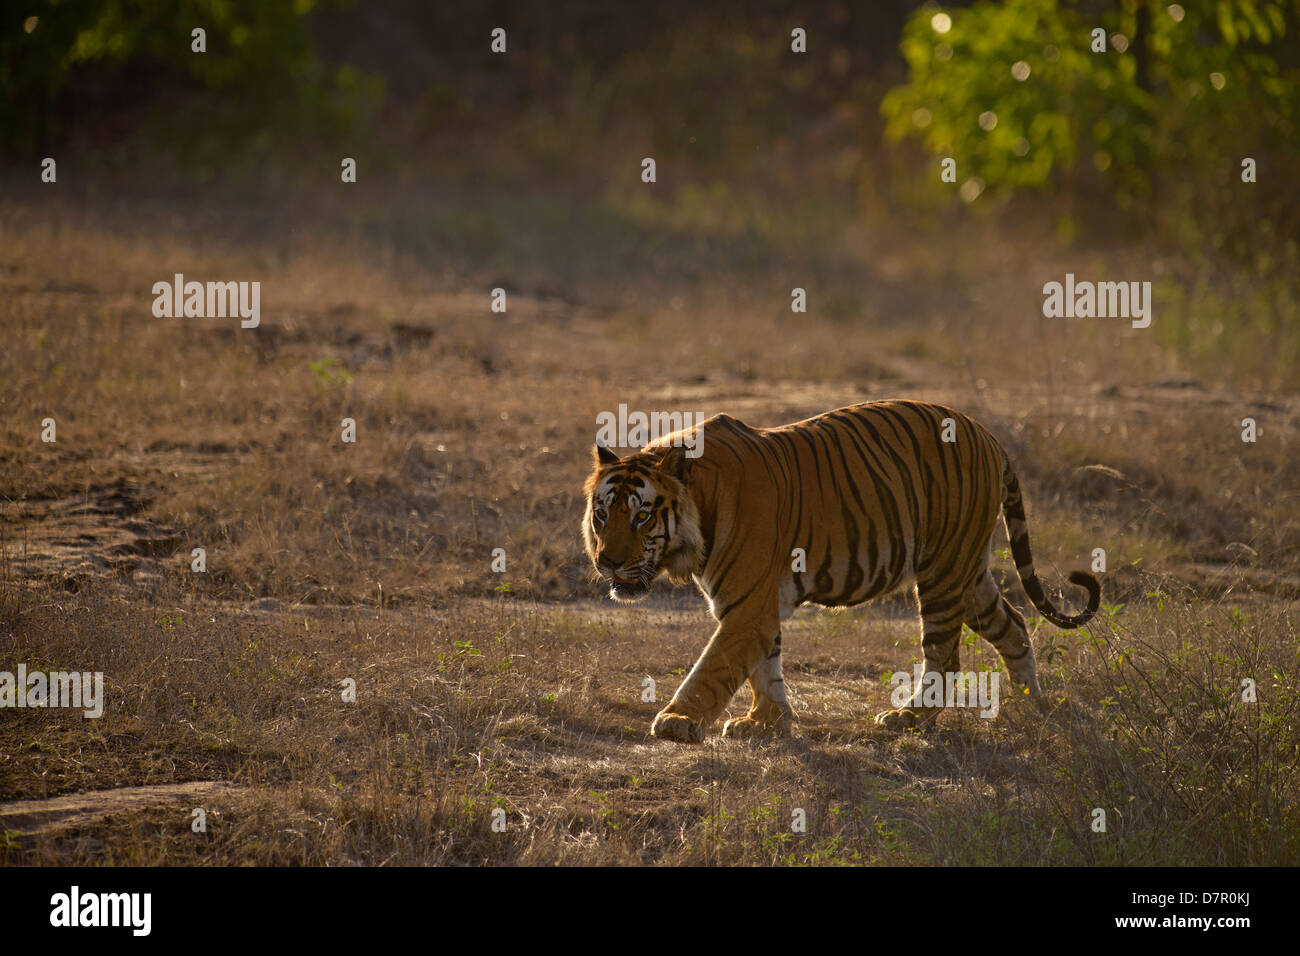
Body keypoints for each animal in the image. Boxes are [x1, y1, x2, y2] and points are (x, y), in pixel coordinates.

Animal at [582, 399, 1100, 742]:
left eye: (641, 516)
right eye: (602, 514)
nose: (608, 561)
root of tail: (991, 437)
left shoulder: (747, 605)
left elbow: (714, 665)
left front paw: (678, 720)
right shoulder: (757, 603)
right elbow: (765, 666)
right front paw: (765, 722)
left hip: (943, 573)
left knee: (945, 657)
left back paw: (907, 719)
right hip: (968, 574)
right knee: (1013, 625)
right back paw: (1033, 706)